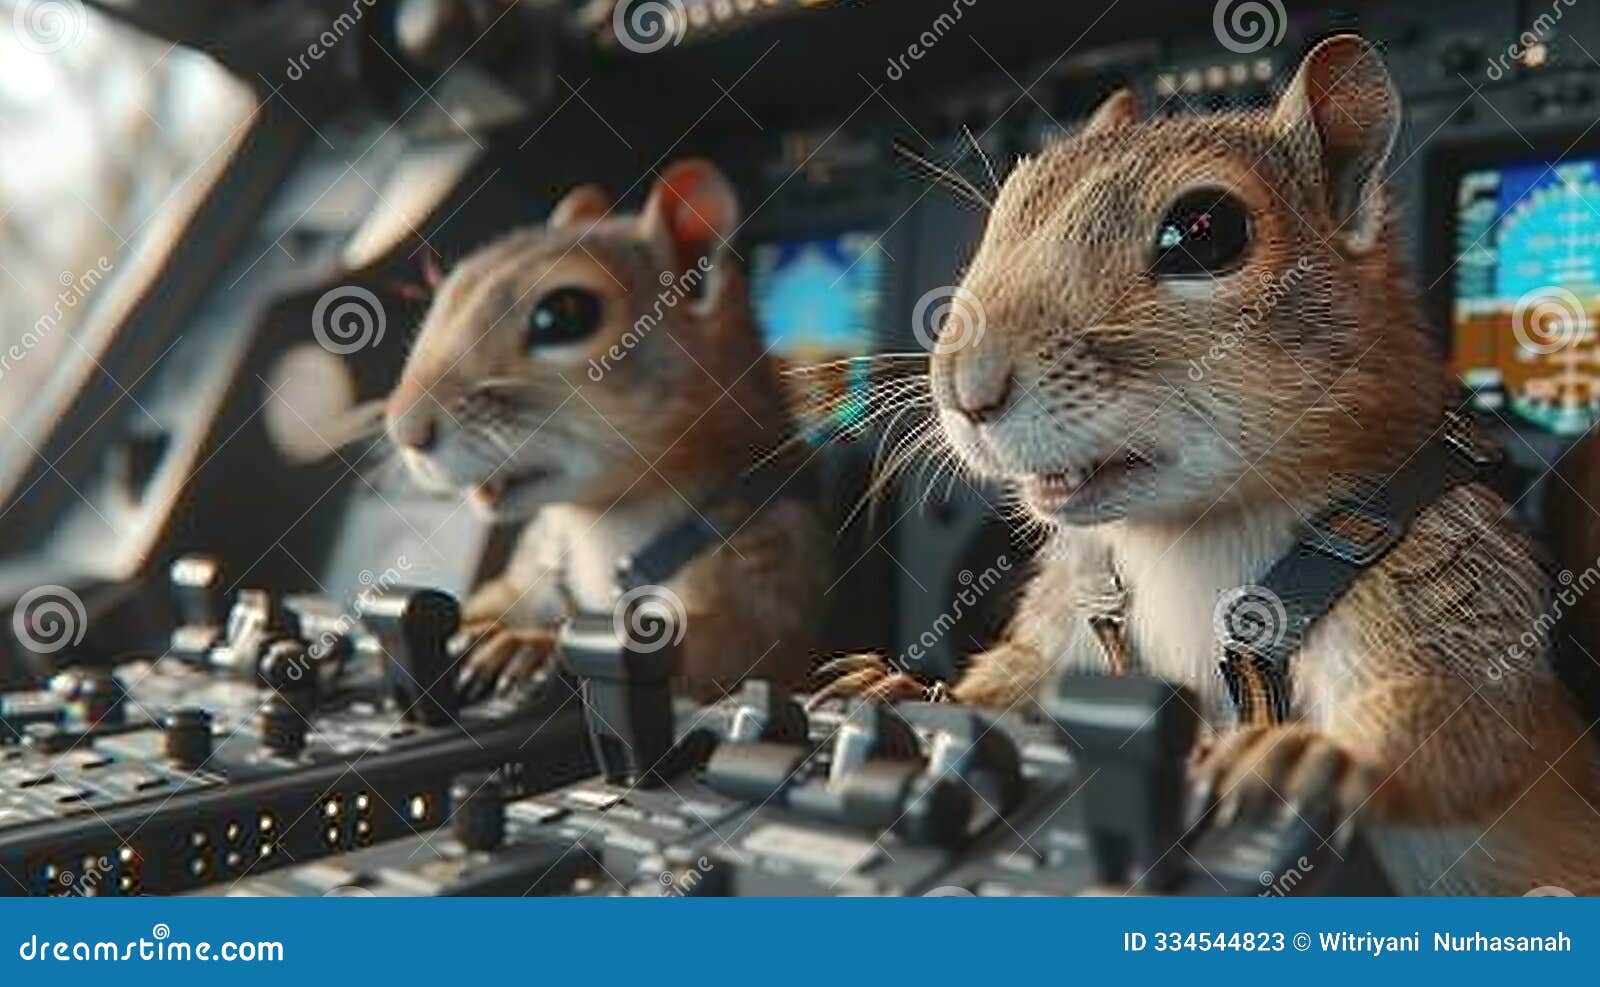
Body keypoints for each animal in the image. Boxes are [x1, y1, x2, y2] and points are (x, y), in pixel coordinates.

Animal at [384, 159, 826, 704]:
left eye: (563, 315)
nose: (406, 430)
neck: (597, 521)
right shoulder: (536, 568)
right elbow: (493, 597)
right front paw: (478, 626)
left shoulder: (776, 574)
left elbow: (735, 647)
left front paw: (529, 648)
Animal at [817, 36, 1600, 895]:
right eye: (1004, 211)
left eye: (1203, 231)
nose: (964, 387)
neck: (1186, 534)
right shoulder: (1076, 622)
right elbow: (1013, 677)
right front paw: (905, 685)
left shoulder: (1435, 583)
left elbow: (1463, 719)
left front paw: (1310, 754)